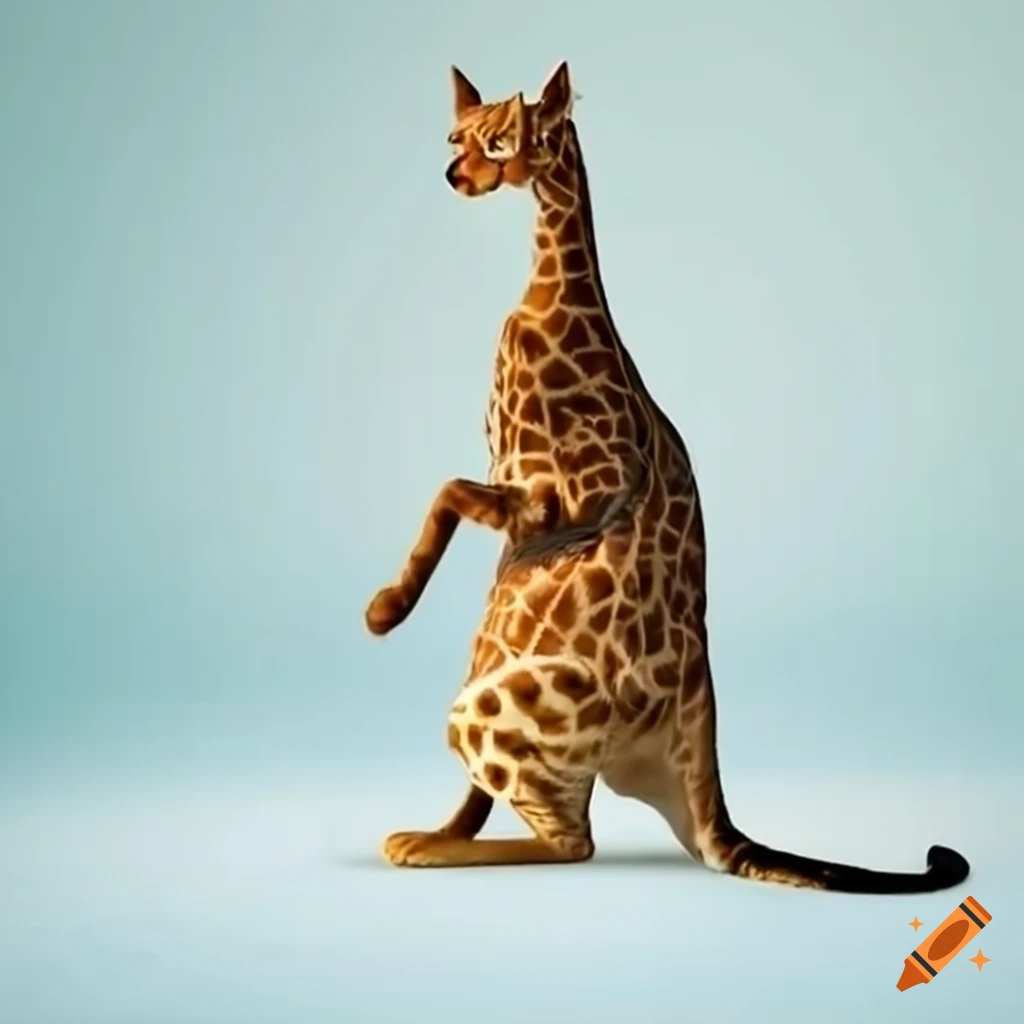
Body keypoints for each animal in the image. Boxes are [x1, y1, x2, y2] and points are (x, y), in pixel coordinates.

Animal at [364, 61, 970, 893]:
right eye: (458, 137)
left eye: (502, 142)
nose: (457, 175)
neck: (548, 300)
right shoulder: (527, 506)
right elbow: (456, 504)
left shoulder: (564, 498)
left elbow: (447, 492)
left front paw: (386, 609)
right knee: (532, 807)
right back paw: (434, 833)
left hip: (492, 708)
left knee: (572, 840)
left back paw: (435, 848)